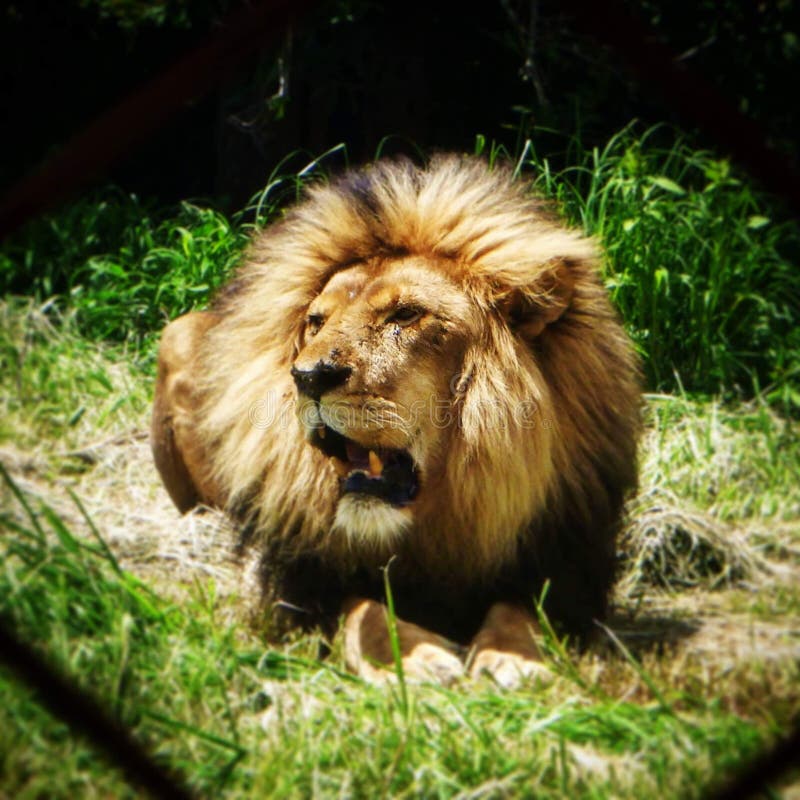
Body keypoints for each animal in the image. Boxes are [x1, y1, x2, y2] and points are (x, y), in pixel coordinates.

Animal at [150, 154, 640, 686]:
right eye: (316, 322)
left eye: (405, 315)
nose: (307, 376)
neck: (437, 519)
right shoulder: (301, 576)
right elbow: (362, 607)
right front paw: (410, 658)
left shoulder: (564, 557)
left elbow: (521, 605)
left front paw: (512, 658)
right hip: (176, 334)